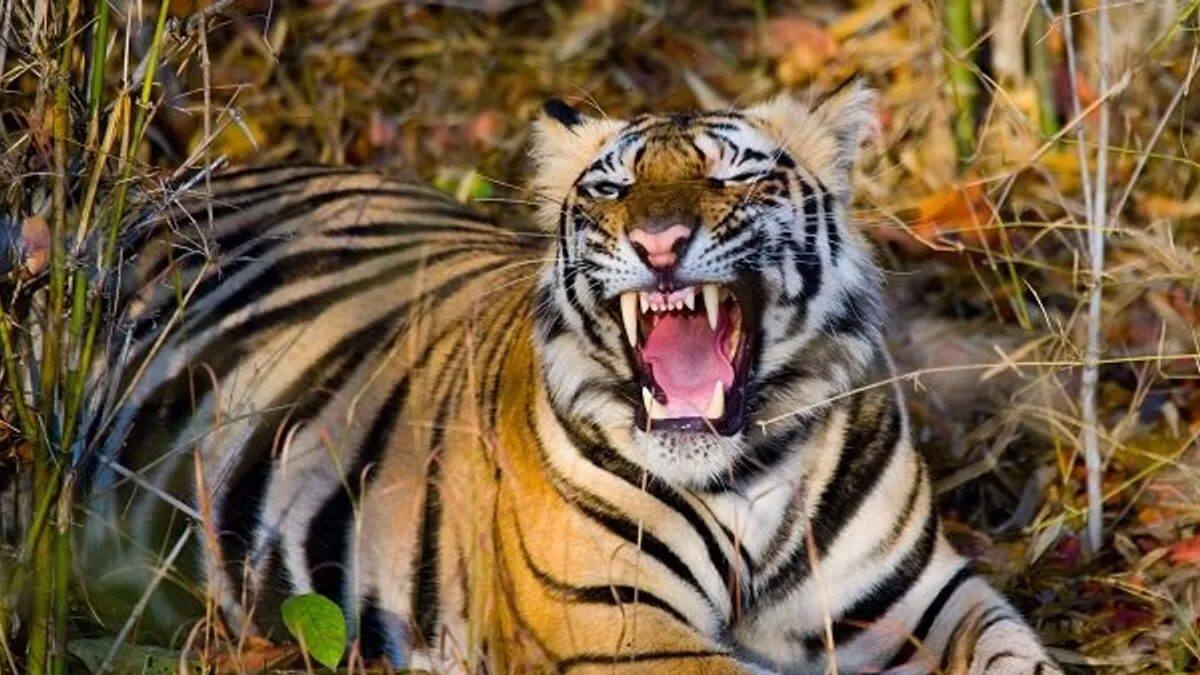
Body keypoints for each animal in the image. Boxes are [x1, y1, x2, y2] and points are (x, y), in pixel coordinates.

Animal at [74, 83, 1061, 673]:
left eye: (733, 178)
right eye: (610, 190)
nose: (658, 242)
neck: (746, 472)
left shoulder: (924, 598)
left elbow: (1018, 652)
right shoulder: (618, 630)